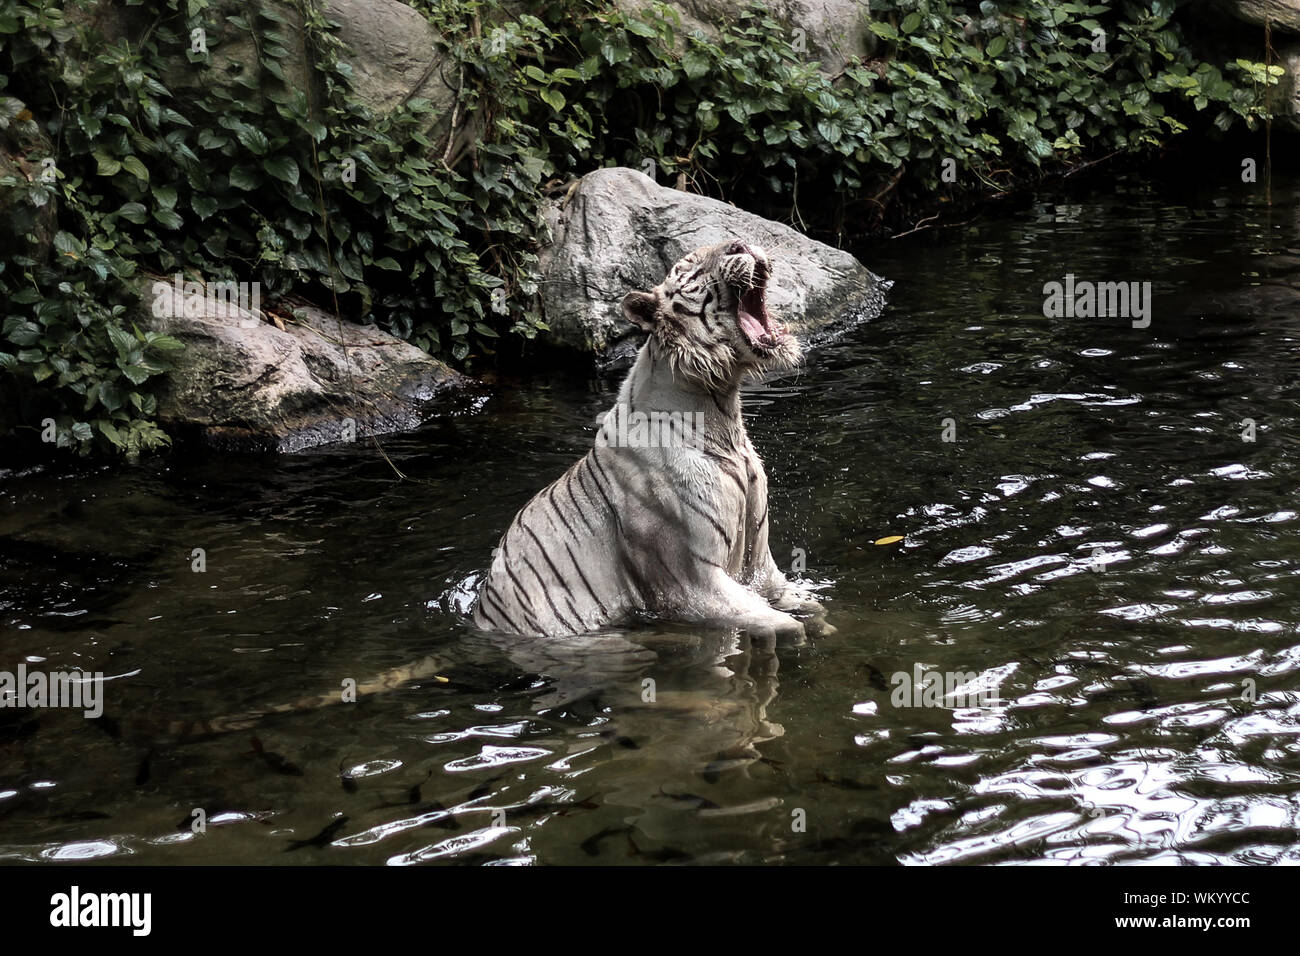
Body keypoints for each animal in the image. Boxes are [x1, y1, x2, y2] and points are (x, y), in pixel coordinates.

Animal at [471, 239, 830, 641]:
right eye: (690, 267)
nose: (739, 243)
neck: (722, 412)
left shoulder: (761, 566)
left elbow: (803, 603)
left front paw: (823, 625)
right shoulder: (694, 584)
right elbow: (774, 620)